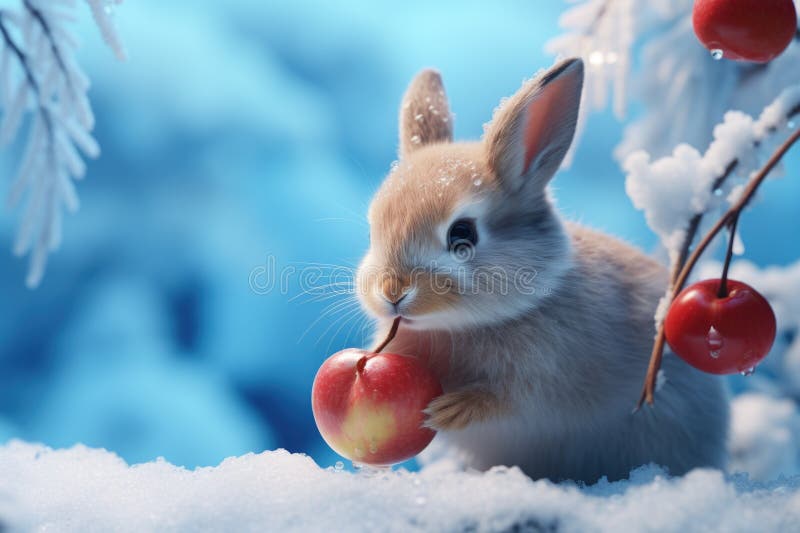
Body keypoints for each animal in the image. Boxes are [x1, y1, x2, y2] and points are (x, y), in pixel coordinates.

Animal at [354, 57, 729, 483]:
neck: (461, 325)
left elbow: (506, 401)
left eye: (462, 233)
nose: (392, 292)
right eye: (372, 230)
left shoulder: (542, 379)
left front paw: (447, 411)